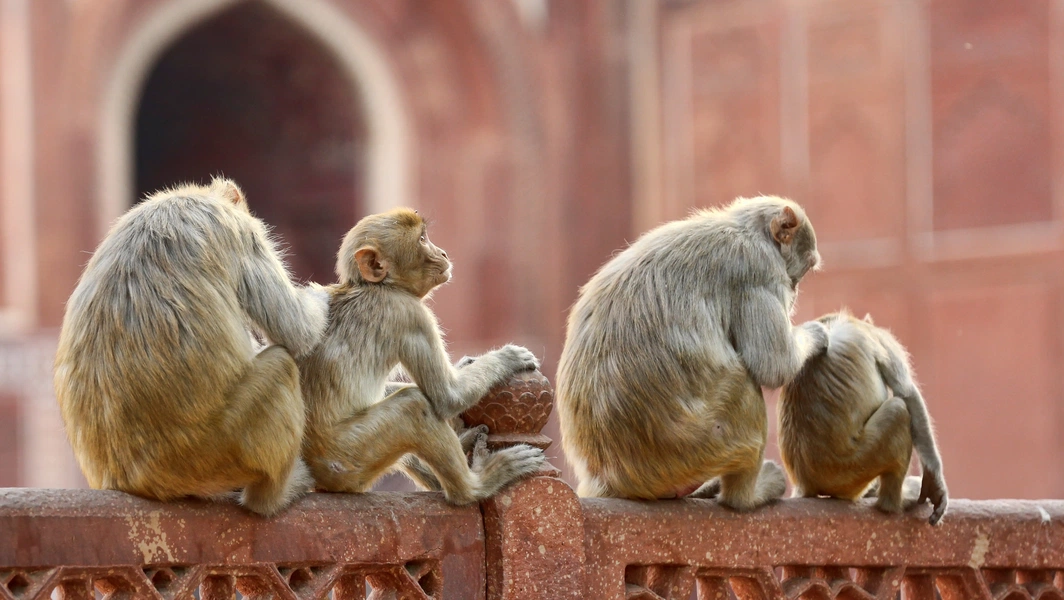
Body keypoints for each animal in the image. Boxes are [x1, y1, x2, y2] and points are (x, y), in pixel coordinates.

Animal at [54, 177, 329, 516]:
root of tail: (138, 480)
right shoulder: (239, 232)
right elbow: (297, 330)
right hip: (225, 449)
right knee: (281, 364)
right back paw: (272, 498)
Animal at [298, 208, 547, 504]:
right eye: (422, 240)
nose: (443, 253)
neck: (379, 287)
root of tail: (315, 473)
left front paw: (465, 363)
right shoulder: (410, 314)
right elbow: (448, 396)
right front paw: (507, 357)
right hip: (347, 457)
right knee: (414, 405)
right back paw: (474, 487)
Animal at [556, 195, 827, 511]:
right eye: (803, 269)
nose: (793, 293)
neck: (746, 229)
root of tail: (611, 479)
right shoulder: (759, 270)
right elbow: (774, 364)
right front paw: (818, 334)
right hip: (700, 447)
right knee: (743, 382)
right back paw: (746, 495)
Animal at [778, 311, 949, 525]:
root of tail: (806, 481)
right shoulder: (878, 337)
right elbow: (907, 393)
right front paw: (935, 483)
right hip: (853, 466)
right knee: (898, 410)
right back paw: (894, 503)